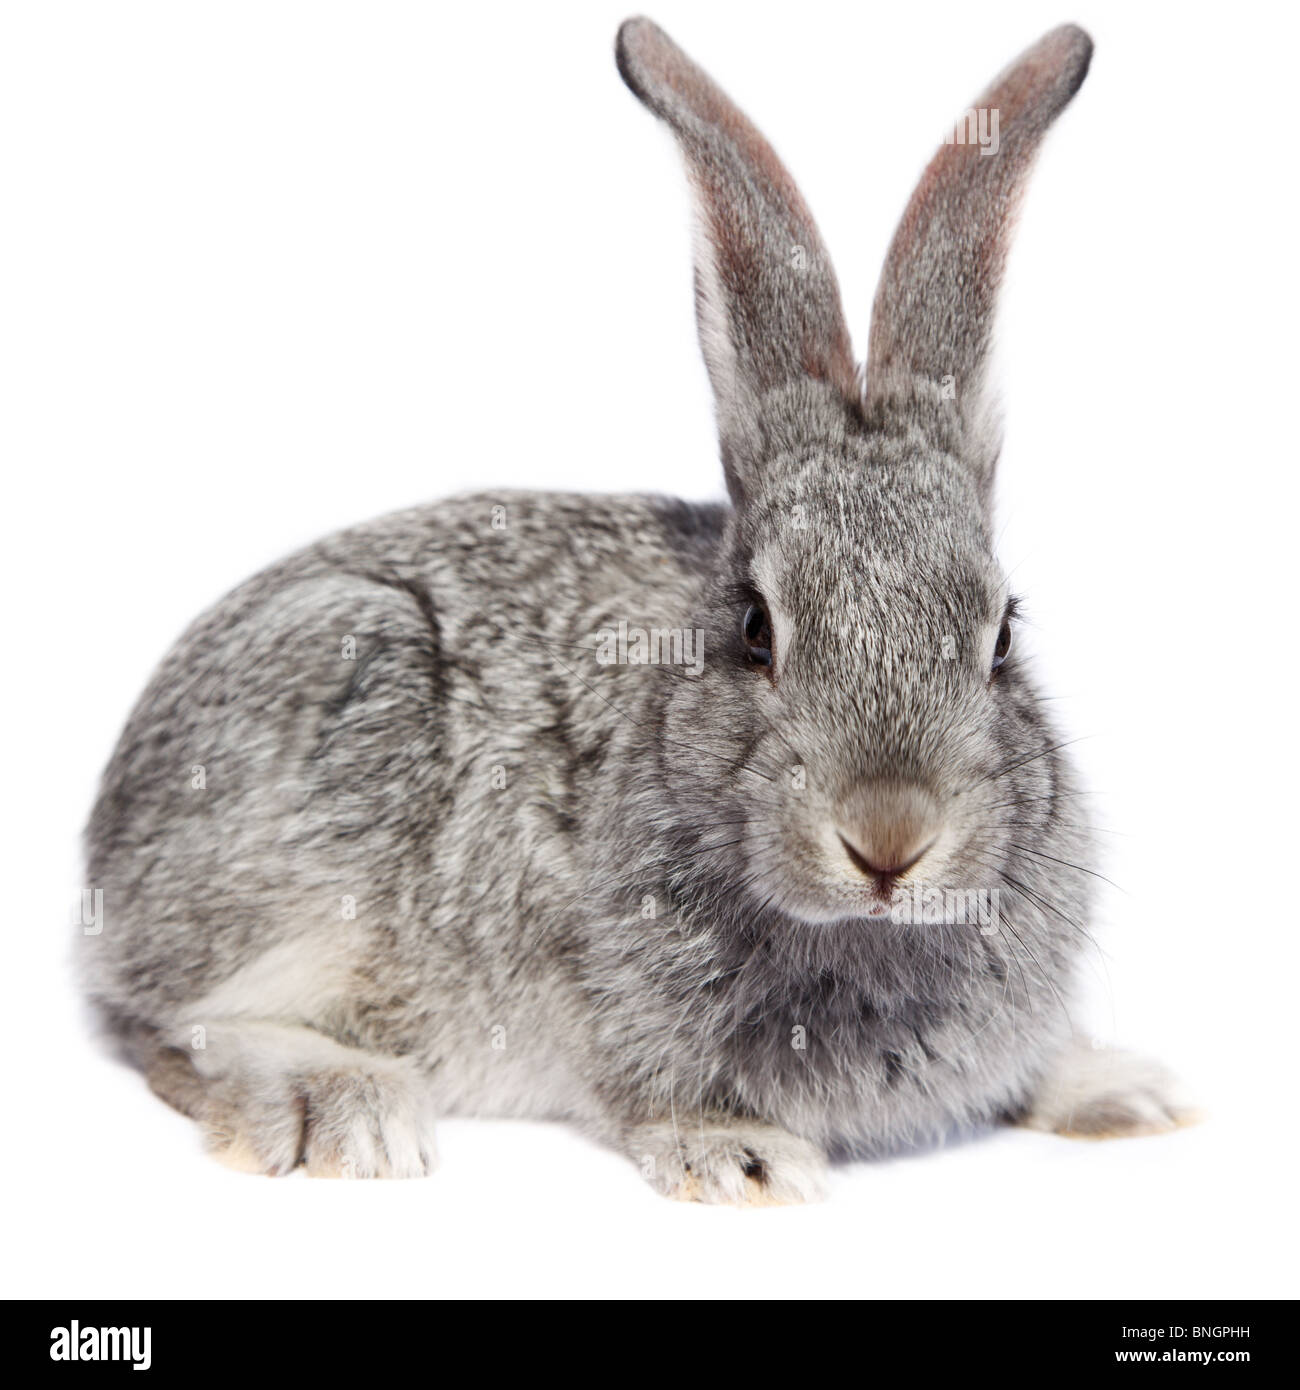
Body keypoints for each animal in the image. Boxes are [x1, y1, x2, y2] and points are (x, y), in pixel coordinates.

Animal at [81, 17, 1196, 1202]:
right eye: (756, 629)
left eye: (1002, 634)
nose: (889, 838)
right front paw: (742, 1158)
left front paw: (1122, 1089)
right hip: (332, 744)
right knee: (171, 1024)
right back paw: (340, 1108)